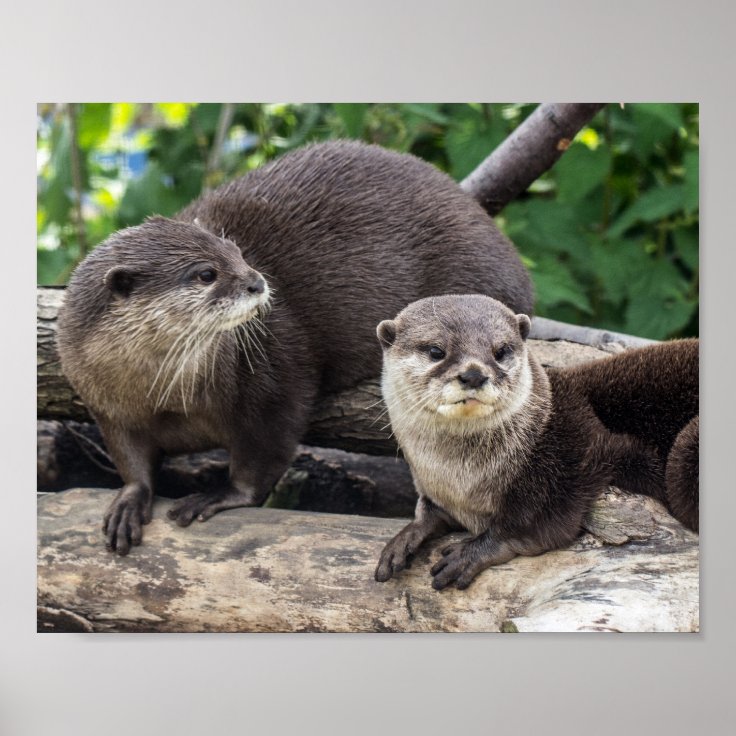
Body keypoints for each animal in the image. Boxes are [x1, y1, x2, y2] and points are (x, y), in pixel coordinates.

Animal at [56, 140, 534, 555]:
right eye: (206, 273)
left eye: (236, 250)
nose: (257, 281)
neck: (167, 396)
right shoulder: (107, 407)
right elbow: (130, 459)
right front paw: (128, 502)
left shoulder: (273, 379)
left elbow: (266, 449)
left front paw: (219, 495)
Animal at [373, 294, 698, 590]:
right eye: (436, 350)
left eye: (500, 350)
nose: (474, 374)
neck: (462, 480)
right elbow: (430, 511)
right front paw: (410, 534)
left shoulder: (571, 452)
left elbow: (533, 521)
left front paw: (474, 551)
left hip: (685, 449)